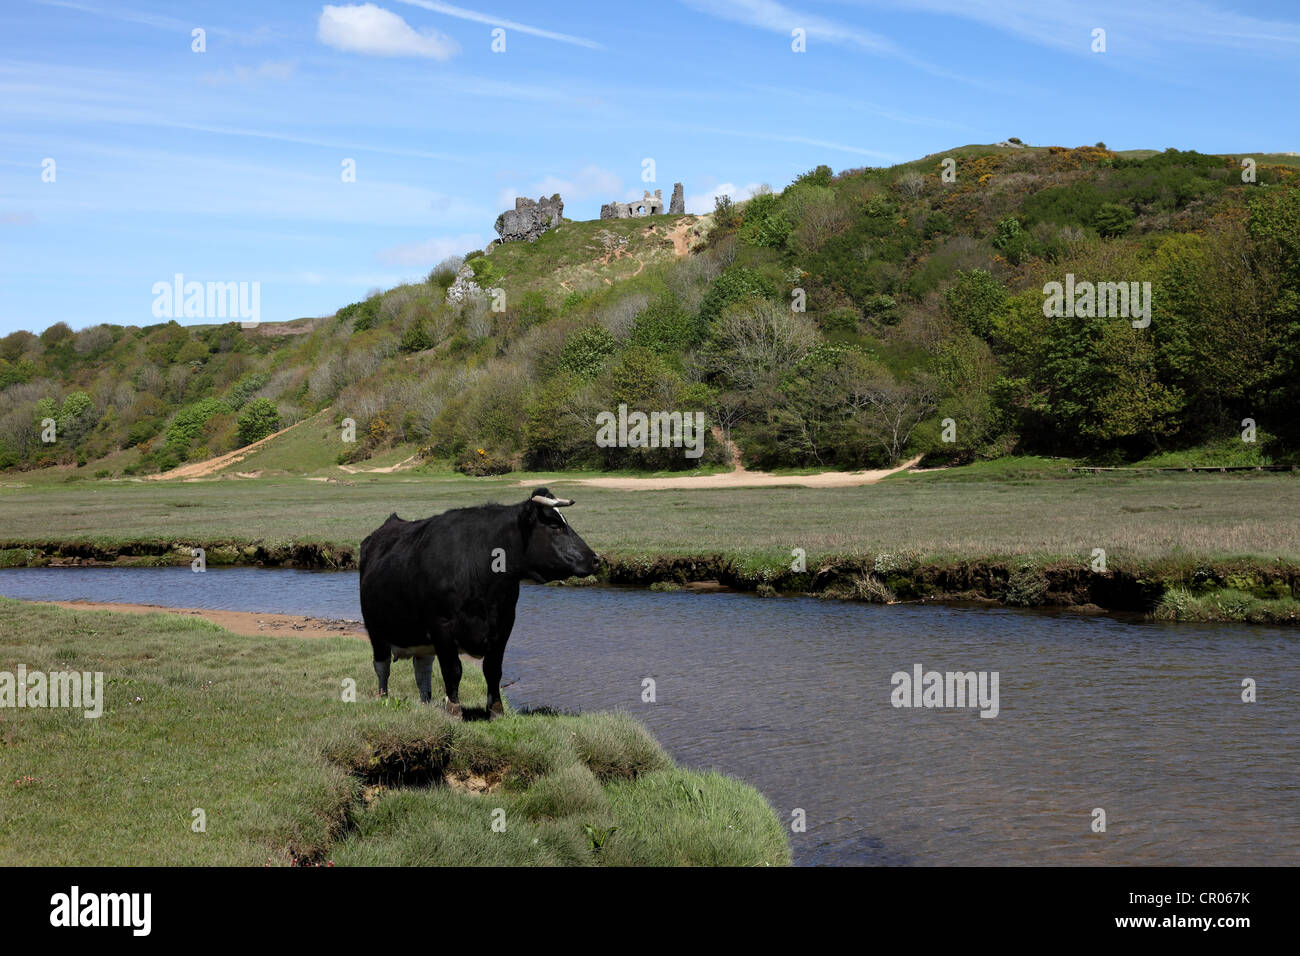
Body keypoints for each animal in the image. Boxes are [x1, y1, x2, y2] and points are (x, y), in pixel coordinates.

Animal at [358, 488, 599, 718]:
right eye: (554, 525)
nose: (595, 559)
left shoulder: (504, 624)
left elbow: (493, 670)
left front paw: (496, 710)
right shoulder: (441, 625)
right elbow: (453, 669)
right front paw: (454, 709)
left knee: (422, 668)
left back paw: (426, 703)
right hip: (376, 630)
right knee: (382, 666)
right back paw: (383, 698)